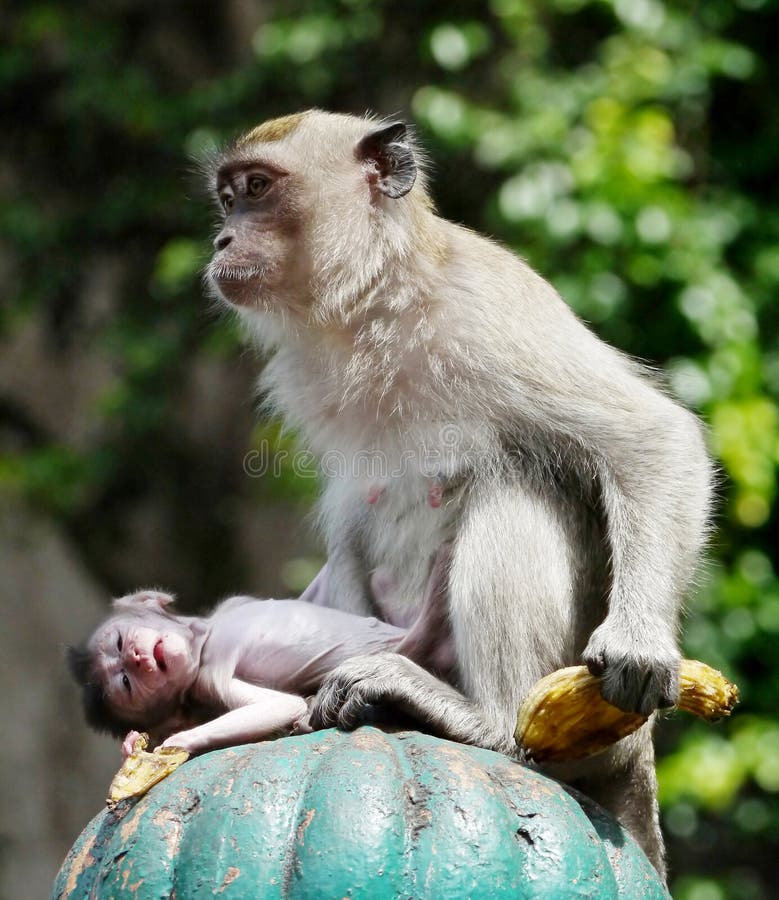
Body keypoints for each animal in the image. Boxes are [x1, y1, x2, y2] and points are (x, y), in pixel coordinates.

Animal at [67, 549, 453, 758]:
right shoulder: (209, 678)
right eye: (126, 683)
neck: (205, 639)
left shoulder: (233, 604)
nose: (136, 657)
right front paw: (175, 742)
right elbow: (280, 705)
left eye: (119, 643)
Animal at [203, 109, 713, 877]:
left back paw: (488, 723)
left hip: (594, 729)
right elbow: (350, 520)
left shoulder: (488, 312)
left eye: (259, 189)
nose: (221, 239)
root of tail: (637, 759)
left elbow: (650, 438)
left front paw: (638, 643)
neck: (376, 301)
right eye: (228, 197)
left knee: (518, 483)